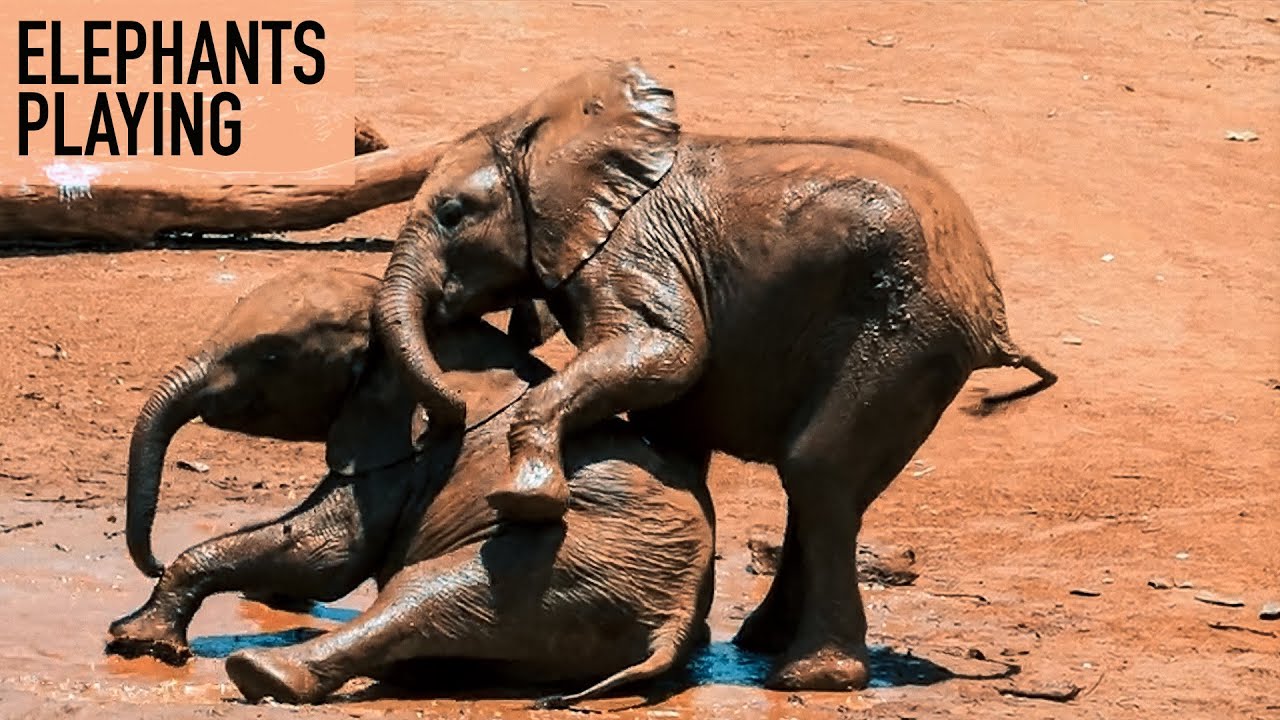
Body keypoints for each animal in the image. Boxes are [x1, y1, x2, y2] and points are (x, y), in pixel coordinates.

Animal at [108, 269, 715, 707]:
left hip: (575, 563)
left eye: (271, 357)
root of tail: (674, 626)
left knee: (423, 592)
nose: (153, 558)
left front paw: (136, 640)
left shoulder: (403, 447)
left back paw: (262, 674)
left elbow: (329, 554)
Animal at [370, 60, 1057, 691]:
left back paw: (807, 676)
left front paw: (525, 501)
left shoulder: (632, 249)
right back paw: (763, 642)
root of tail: (988, 301)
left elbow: (669, 355)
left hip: (905, 331)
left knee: (817, 469)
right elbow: (673, 425)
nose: (447, 416)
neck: (542, 138)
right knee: (822, 478)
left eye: (453, 213)